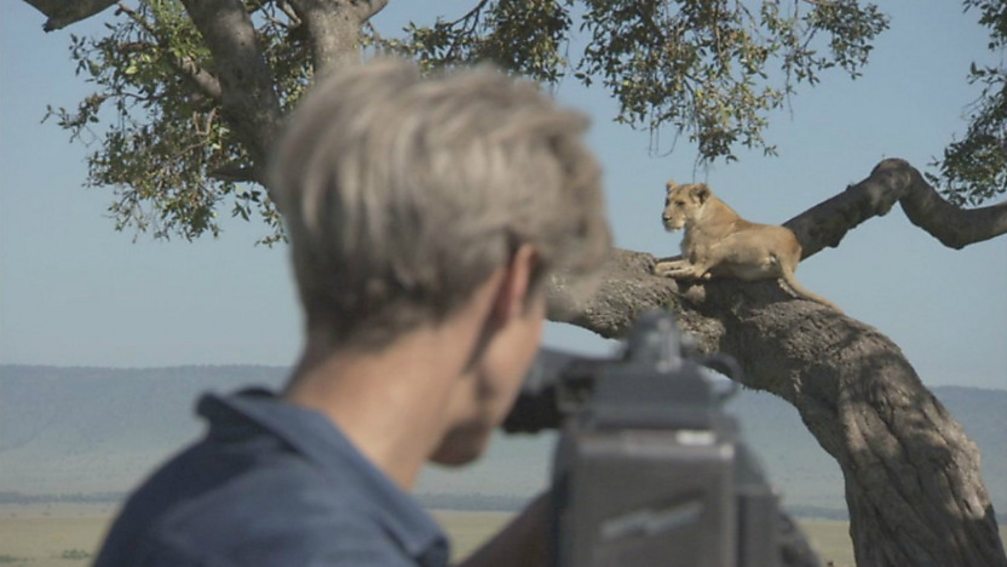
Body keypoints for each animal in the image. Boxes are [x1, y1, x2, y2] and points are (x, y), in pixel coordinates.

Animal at [653, 181, 841, 312]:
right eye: (666, 201)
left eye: (680, 203)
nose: (664, 218)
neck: (693, 222)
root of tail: (789, 251)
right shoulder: (687, 258)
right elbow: (663, 264)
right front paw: (662, 265)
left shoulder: (697, 256)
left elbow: (689, 266)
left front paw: (667, 269)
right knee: (706, 272)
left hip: (729, 242)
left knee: (696, 272)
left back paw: (675, 274)